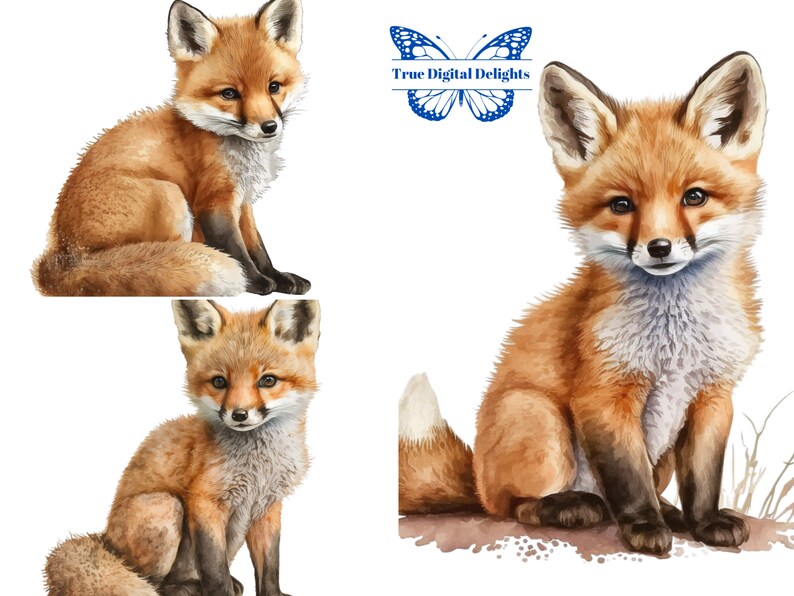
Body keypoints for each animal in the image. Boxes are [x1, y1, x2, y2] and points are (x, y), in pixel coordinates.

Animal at [32, 0, 311, 297]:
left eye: (274, 87)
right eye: (229, 93)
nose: (269, 126)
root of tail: (63, 257)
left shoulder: (243, 201)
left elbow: (257, 247)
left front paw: (279, 278)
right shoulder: (214, 201)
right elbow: (237, 249)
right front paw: (256, 282)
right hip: (171, 196)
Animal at [45, 298, 320, 595]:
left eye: (268, 380)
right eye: (219, 382)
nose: (239, 415)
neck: (259, 468)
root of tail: (104, 540)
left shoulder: (268, 507)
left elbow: (269, 566)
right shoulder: (203, 500)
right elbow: (214, 568)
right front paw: (219, 590)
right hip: (168, 508)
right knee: (150, 581)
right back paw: (181, 587)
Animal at [399, 51, 767, 555]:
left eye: (694, 197)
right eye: (621, 205)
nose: (659, 248)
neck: (675, 342)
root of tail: (477, 479)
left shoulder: (713, 396)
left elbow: (704, 477)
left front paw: (705, 521)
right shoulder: (602, 394)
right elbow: (627, 478)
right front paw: (645, 527)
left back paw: (667, 512)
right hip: (539, 421)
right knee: (514, 506)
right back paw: (569, 508)